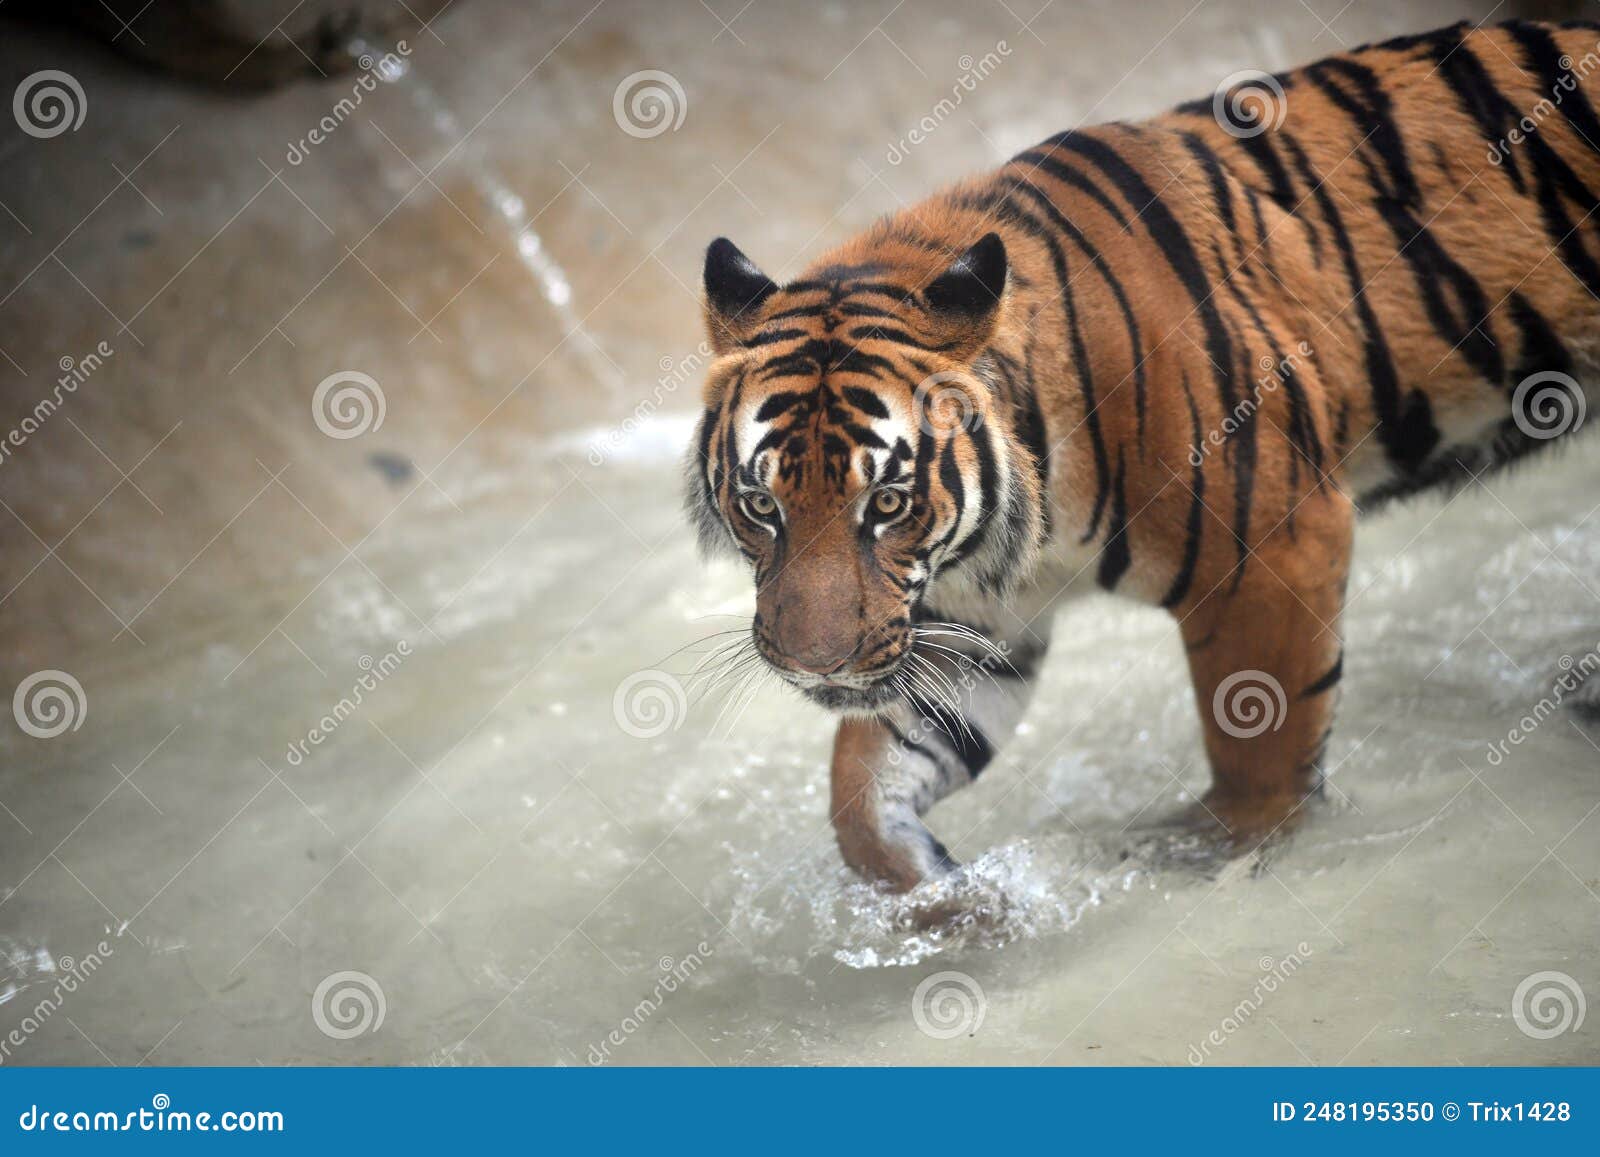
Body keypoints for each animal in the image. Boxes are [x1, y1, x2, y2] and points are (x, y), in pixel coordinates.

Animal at [685, 20, 1600, 892]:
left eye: (886, 504)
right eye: (762, 505)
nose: (815, 666)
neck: (1020, 532)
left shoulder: (1275, 547)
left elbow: (1259, 753)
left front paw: (1208, 856)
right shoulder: (964, 625)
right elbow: (861, 798)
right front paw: (962, 905)